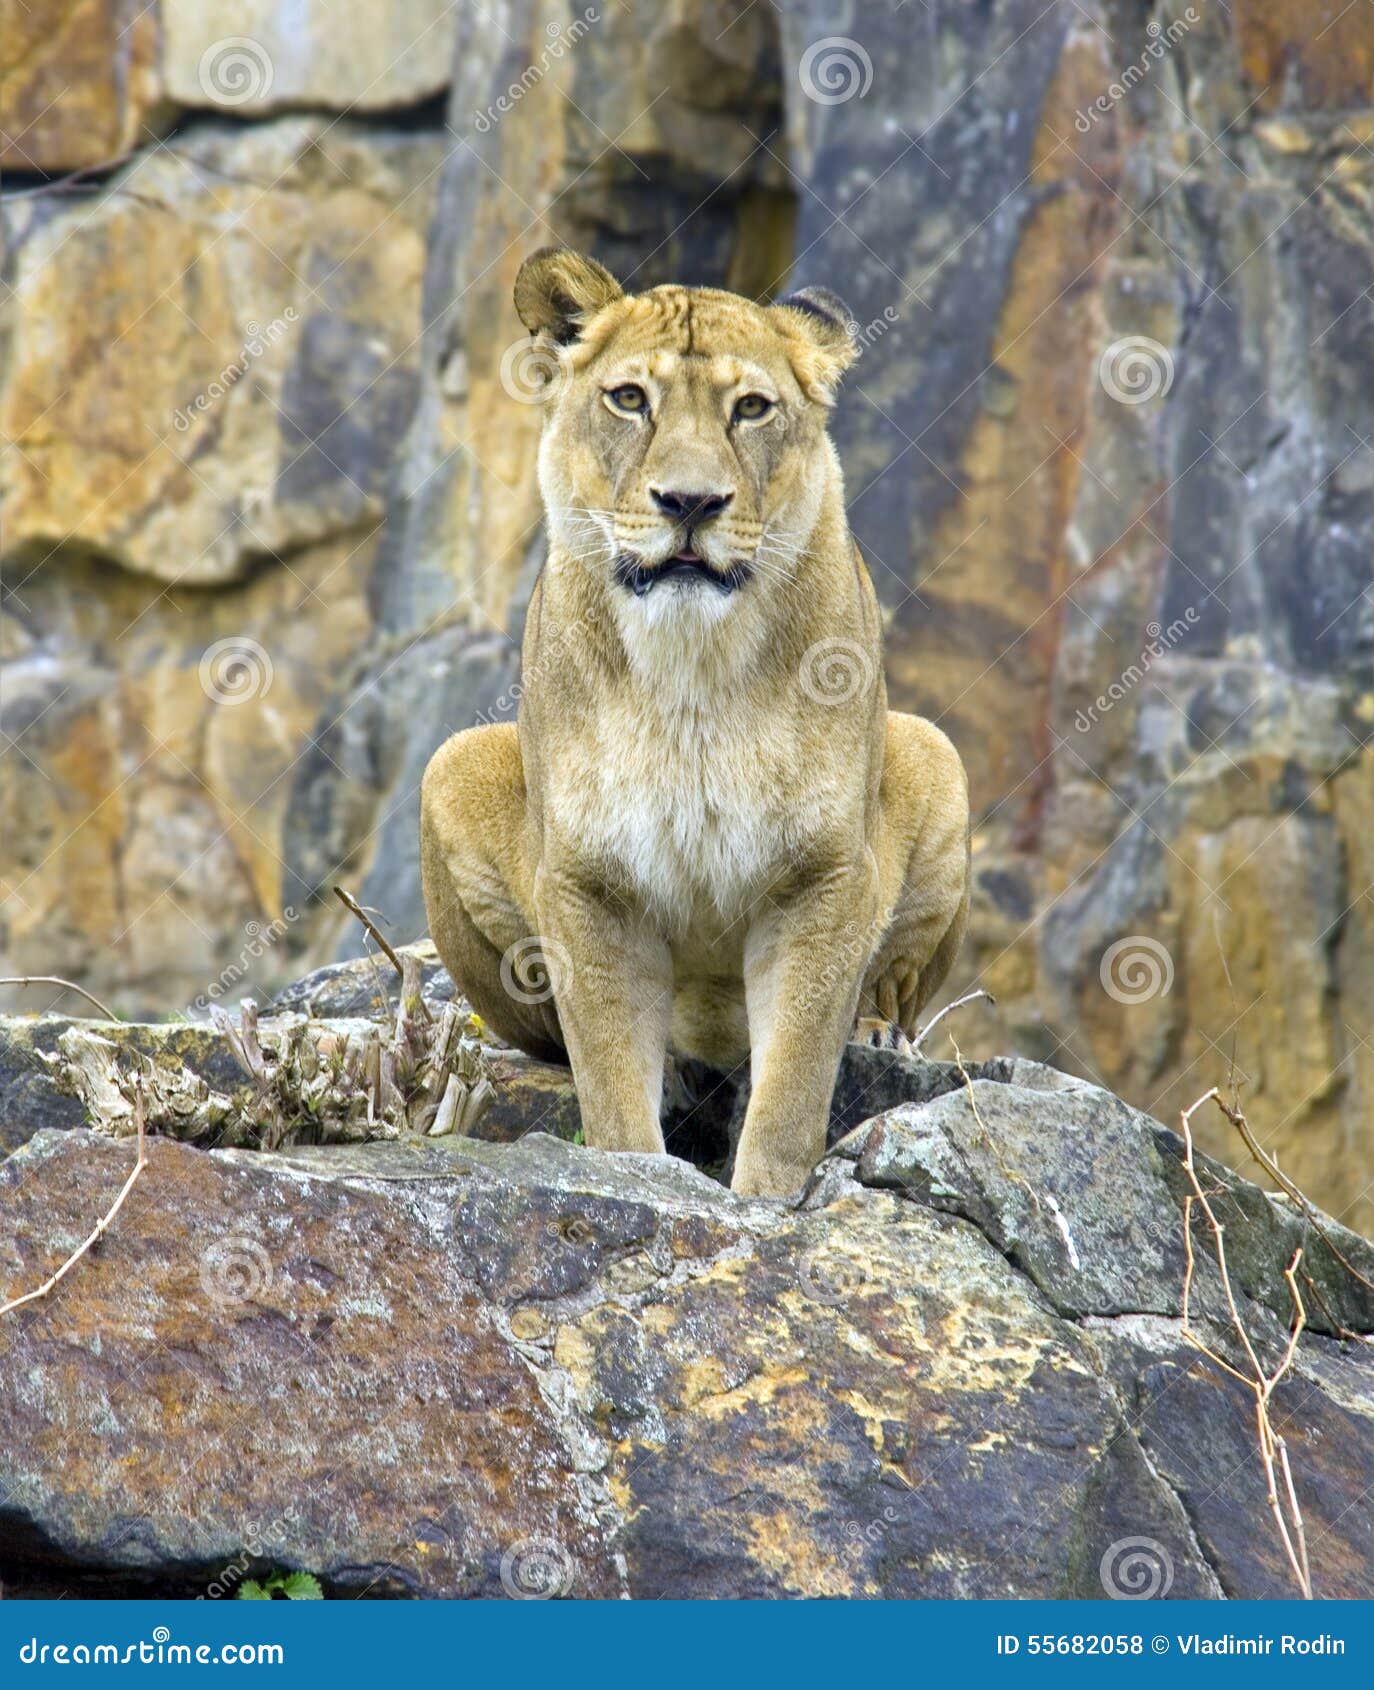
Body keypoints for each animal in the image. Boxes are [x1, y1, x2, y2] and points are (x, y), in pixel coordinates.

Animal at [420, 248, 970, 1197]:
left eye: (750, 408)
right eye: (628, 398)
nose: (690, 502)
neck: (691, 673)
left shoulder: (822, 876)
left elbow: (793, 1082)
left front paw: (766, 1200)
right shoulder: (589, 884)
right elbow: (608, 1075)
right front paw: (636, 1178)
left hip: (935, 754)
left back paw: (875, 1030)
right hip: (452, 766)